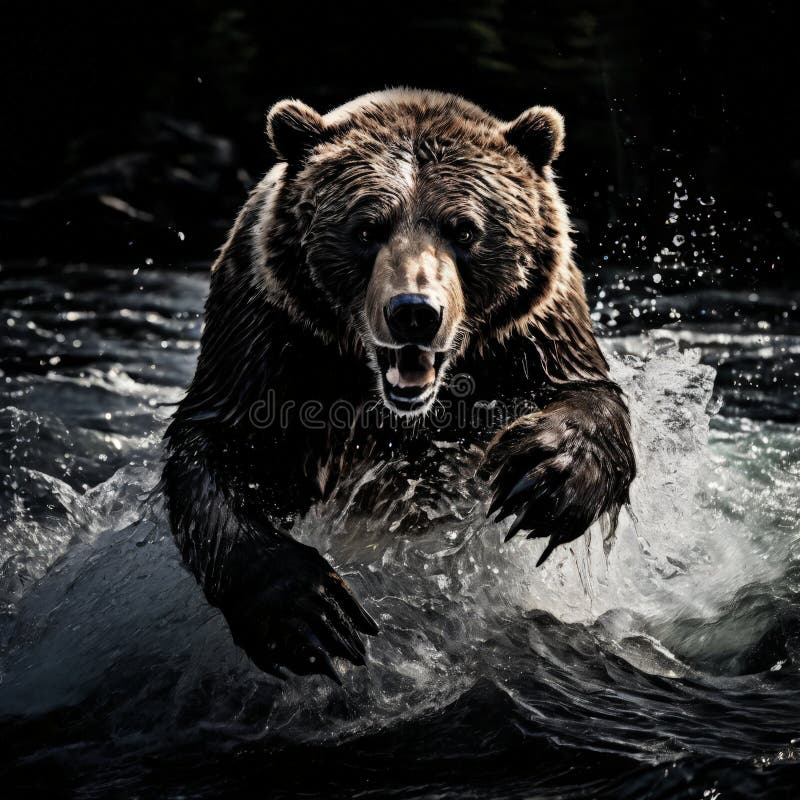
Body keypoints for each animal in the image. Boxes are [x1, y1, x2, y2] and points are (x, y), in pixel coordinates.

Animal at [162, 89, 636, 683]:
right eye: (367, 228)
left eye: (464, 229)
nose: (414, 312)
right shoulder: (270, 332)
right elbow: (221, 449)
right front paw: (314, 612)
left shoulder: (534, 330)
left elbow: (585, 392)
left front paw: (544, 482)